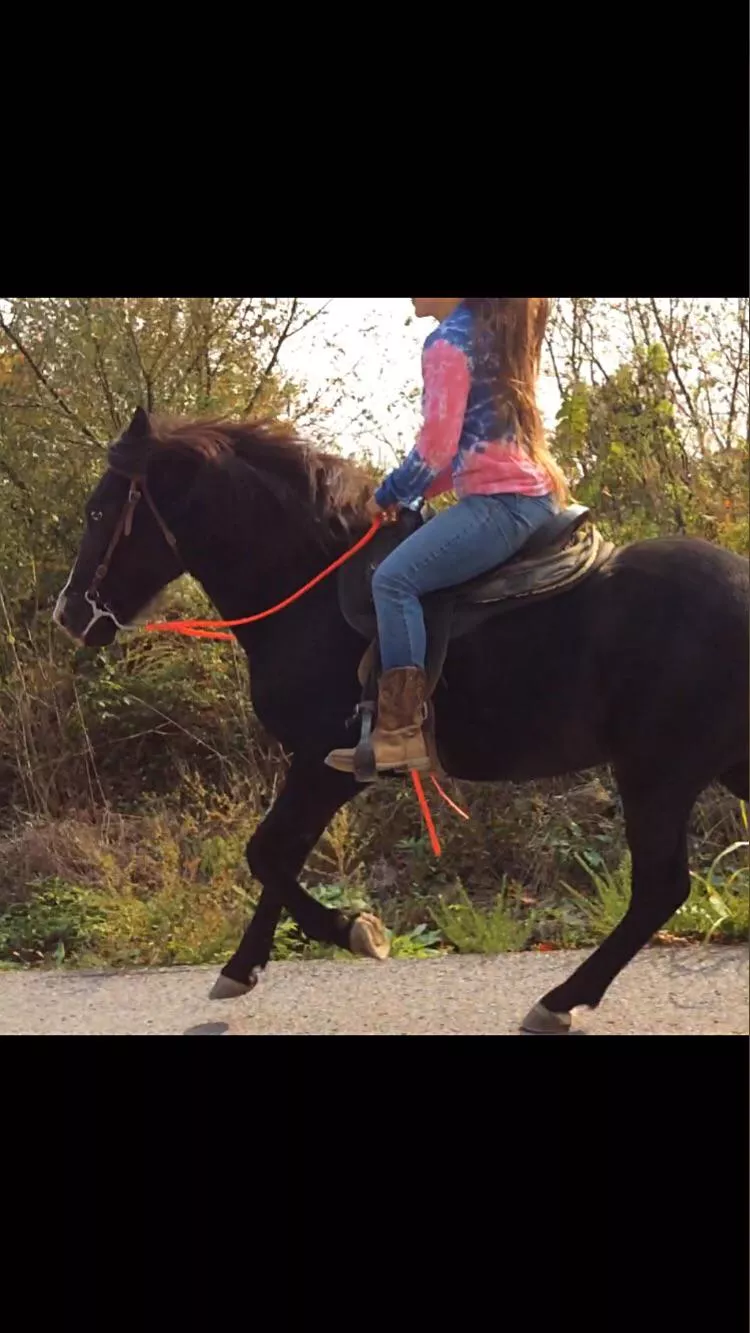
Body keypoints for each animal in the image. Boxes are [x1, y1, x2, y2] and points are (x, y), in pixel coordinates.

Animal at [53, 407, 749, 1034]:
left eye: (98, 513)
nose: (70, 614)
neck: (309, 588)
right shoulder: (318, 769)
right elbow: (278, 856)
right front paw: (245, 966)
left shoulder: (326, 767)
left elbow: (268, 853)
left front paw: (352, 930)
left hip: (658, 774)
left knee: (660, 889)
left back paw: (559, 1000)